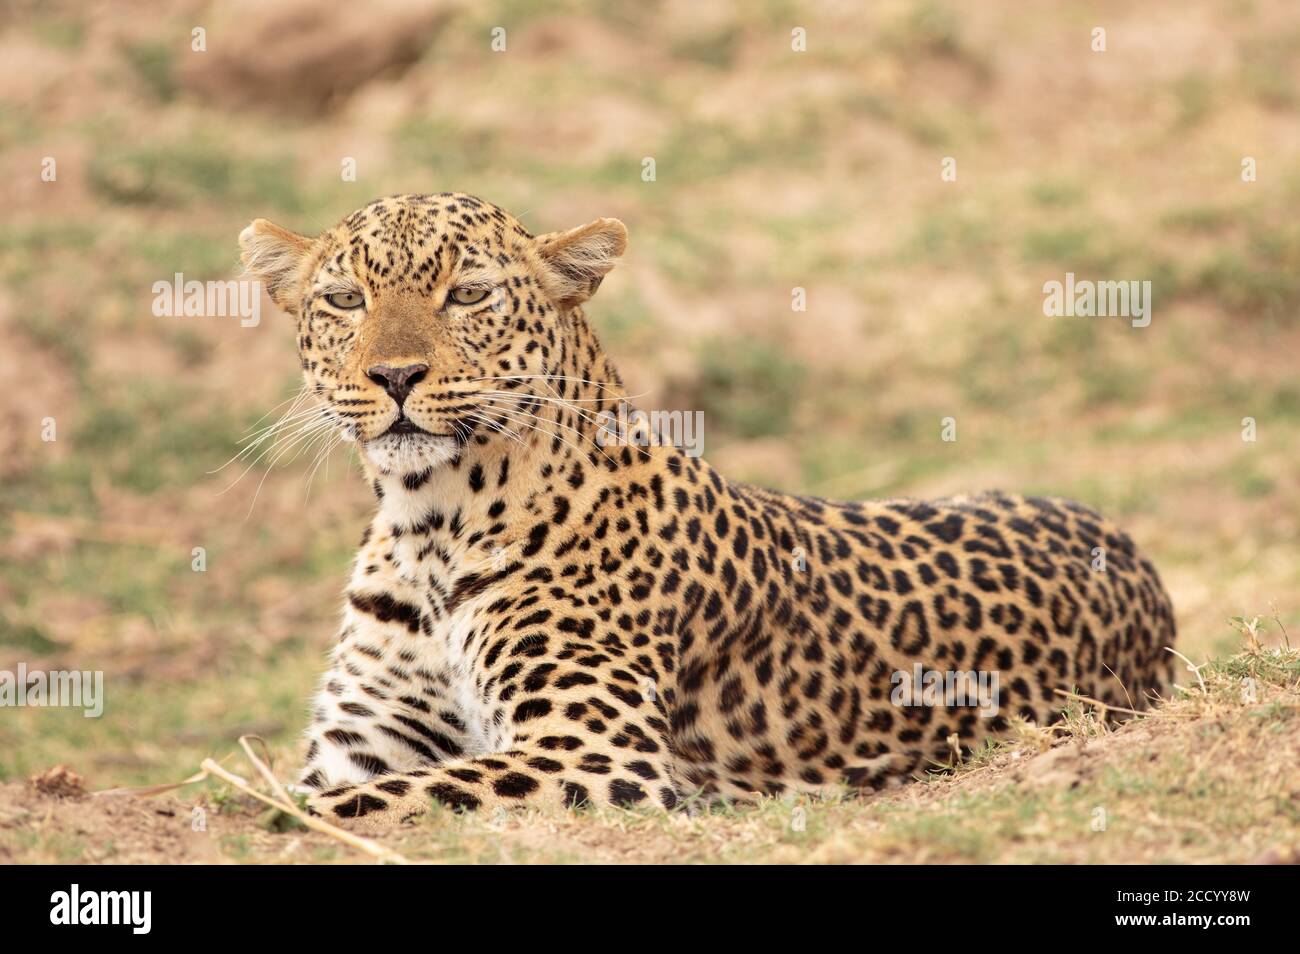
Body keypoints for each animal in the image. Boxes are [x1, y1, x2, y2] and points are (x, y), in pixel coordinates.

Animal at [237, 192, 1177, 832]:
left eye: (468, 294)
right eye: (345, 301)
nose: (394, 376)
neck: (427, 523)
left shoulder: (596, 753)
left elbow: (361, 802)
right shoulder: (360, 741)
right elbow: (343, 788)